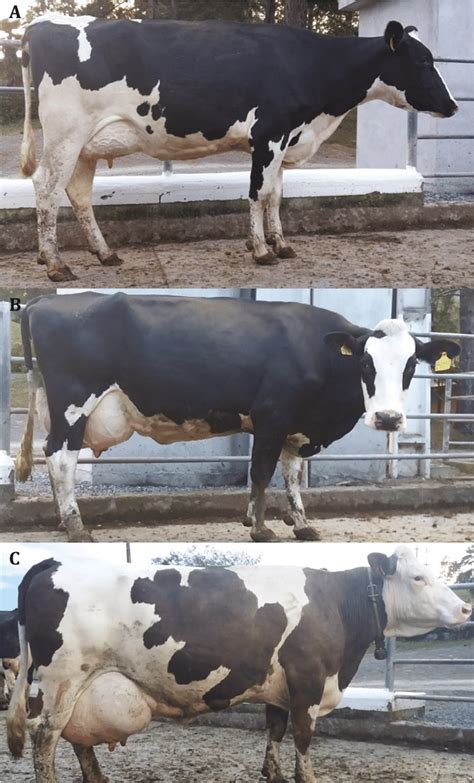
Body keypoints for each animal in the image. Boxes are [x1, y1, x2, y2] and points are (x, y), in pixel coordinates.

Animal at [6, 548, 472, 782]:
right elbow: (304, 742)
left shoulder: (279, 689)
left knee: (75, 737)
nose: (466, 608)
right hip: (61, 680)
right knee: (45, 738)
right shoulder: (308, 684)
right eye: (418, 578)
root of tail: (55, 562)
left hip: (82, 685)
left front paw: (273, 774)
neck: (337, 604)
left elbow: (275, 735)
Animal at [15, 292, 460, 543]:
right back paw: (76, 526)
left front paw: (300, 524)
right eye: (366, 364)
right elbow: (260, 471)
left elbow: (291, 474)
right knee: (61, 458)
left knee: (52, 456)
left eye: (410, 366)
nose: (387, 419)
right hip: (74, 402)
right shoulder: (271, 416)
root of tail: (45, 300)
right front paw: (259, 528)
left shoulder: (295, 427)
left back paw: (62, 521)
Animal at [20, 15, 457, 281]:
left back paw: (104, 252)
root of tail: (38, 26)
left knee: (77, 193)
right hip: (66, 133)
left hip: (86, 145)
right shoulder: (269, 134)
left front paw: (281, 243)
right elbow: (257, 192)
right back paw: (54, 262)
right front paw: (261, 249)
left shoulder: (284, 138)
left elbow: (276, 194)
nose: (453, 106)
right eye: (423, 61)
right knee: (46, 187)